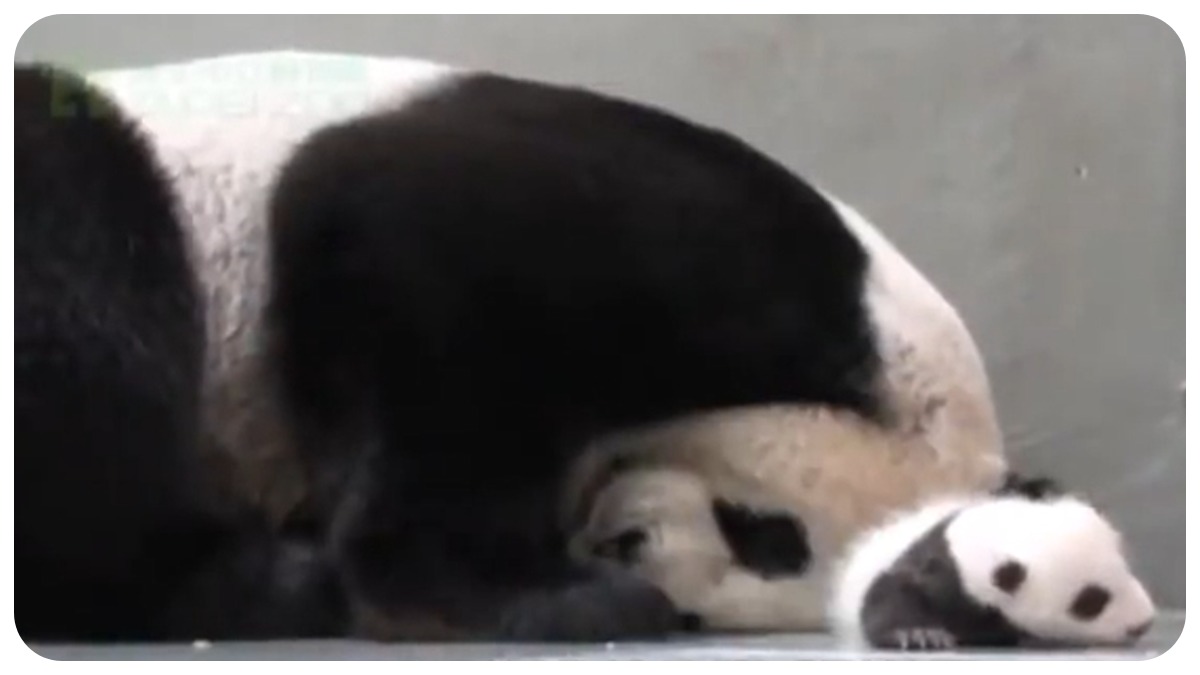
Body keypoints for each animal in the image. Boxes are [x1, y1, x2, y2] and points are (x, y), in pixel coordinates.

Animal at [68, 51, 1009, 642]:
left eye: (755, 562)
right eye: (768, 536)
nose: (630, 546)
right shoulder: (682, 248)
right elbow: (431, 317)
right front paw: (554, 597)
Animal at [827, 485, 1157, 650]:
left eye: (1127, 570)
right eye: (1090, 601)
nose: (1143, 623)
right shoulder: (943, 573)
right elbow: (894, 592)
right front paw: (919, 634)